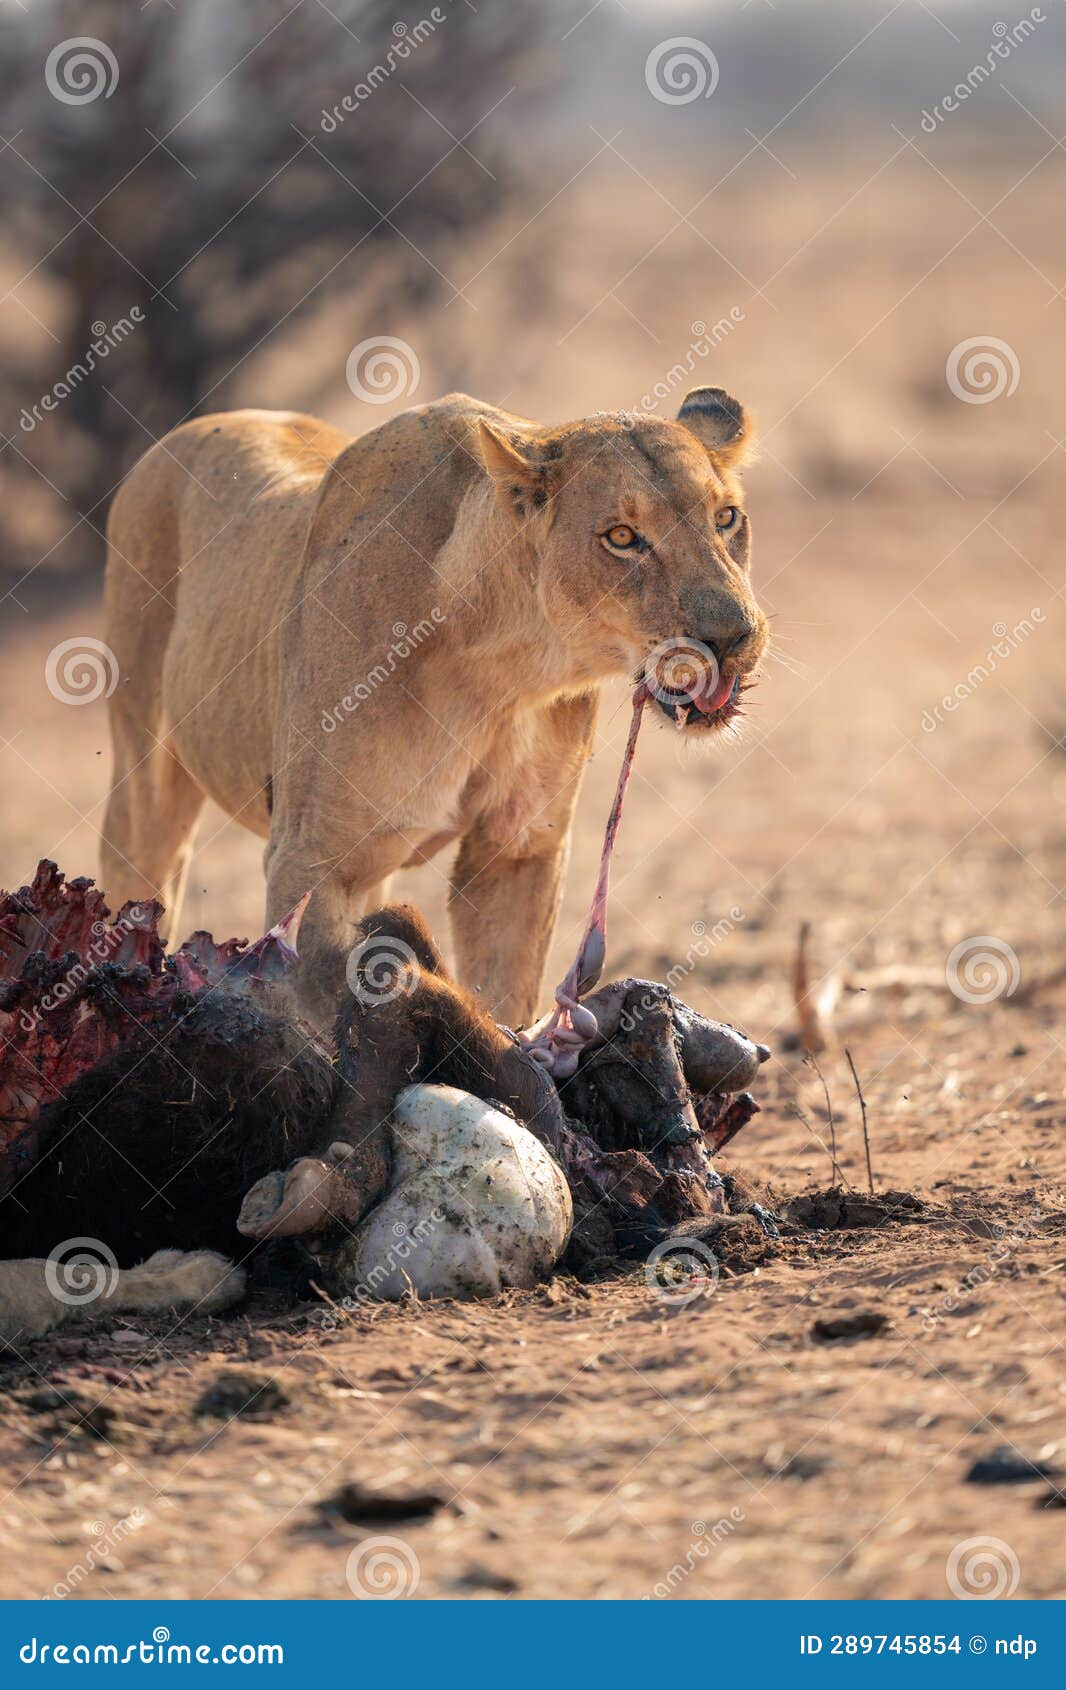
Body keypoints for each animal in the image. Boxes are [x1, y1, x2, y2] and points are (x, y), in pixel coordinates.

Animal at [102, 389, 767, 1031]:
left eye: (725, 518)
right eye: (622, 538)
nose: (732, 636)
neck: (508, 669)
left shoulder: (518, 850)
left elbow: (502, 994)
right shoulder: (309, 860)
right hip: (148, 779)